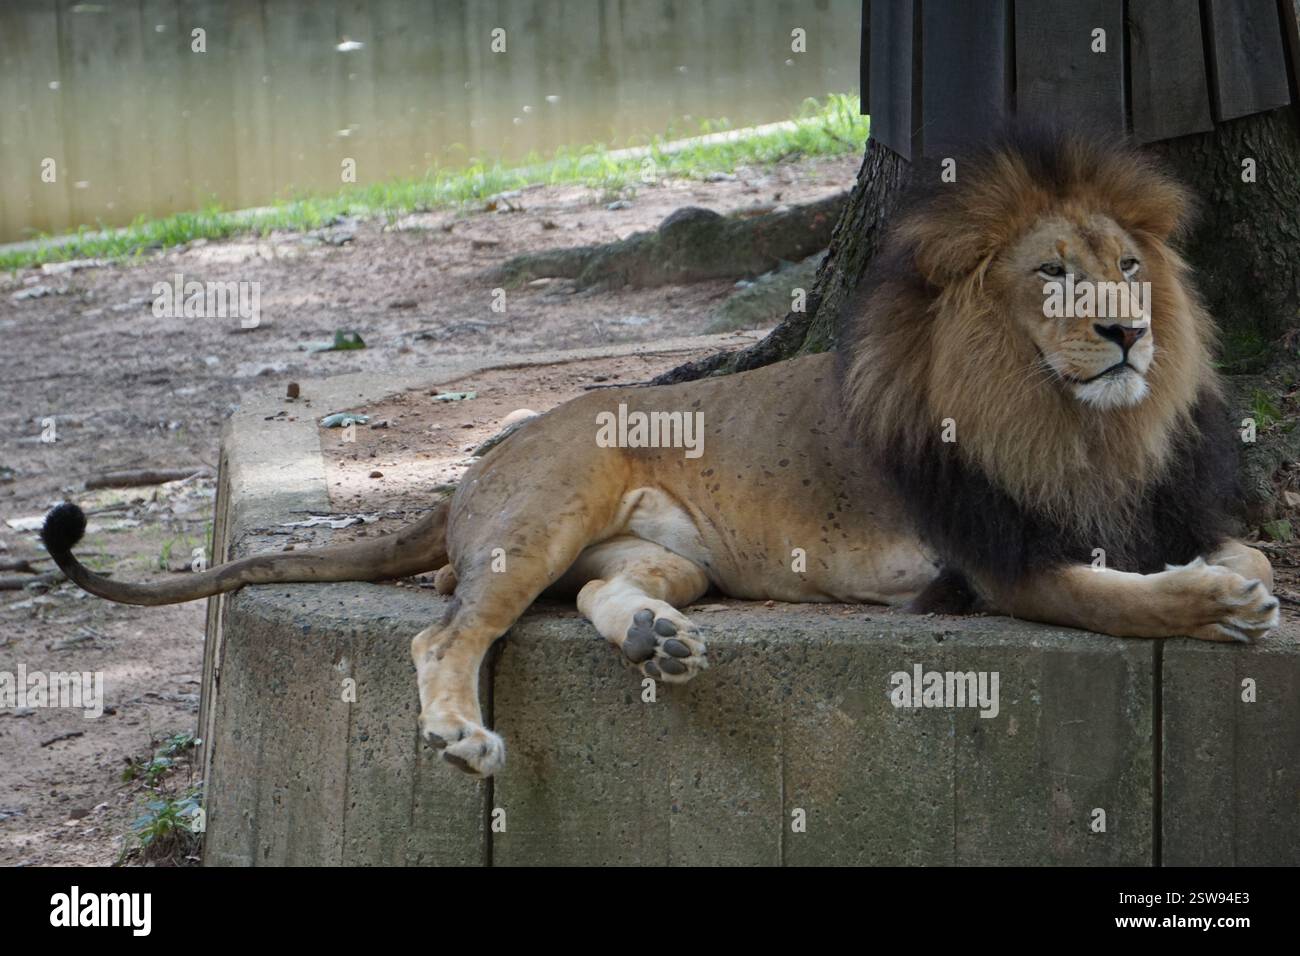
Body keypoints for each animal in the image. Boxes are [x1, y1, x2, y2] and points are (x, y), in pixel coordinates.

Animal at [41, 126, 1278, 778]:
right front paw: (1212, 604)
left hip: (669, 550)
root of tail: (475, 461)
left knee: (606, 592)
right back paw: (460, 730)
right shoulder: (992, 562)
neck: (1081, 422)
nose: (1128, 332)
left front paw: (1242, 581)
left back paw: (657, 638)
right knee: (445, 630)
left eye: (1129, 265)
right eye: (1054, 275)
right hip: (545, 512)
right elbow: (1113, 597)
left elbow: (1245, 551)